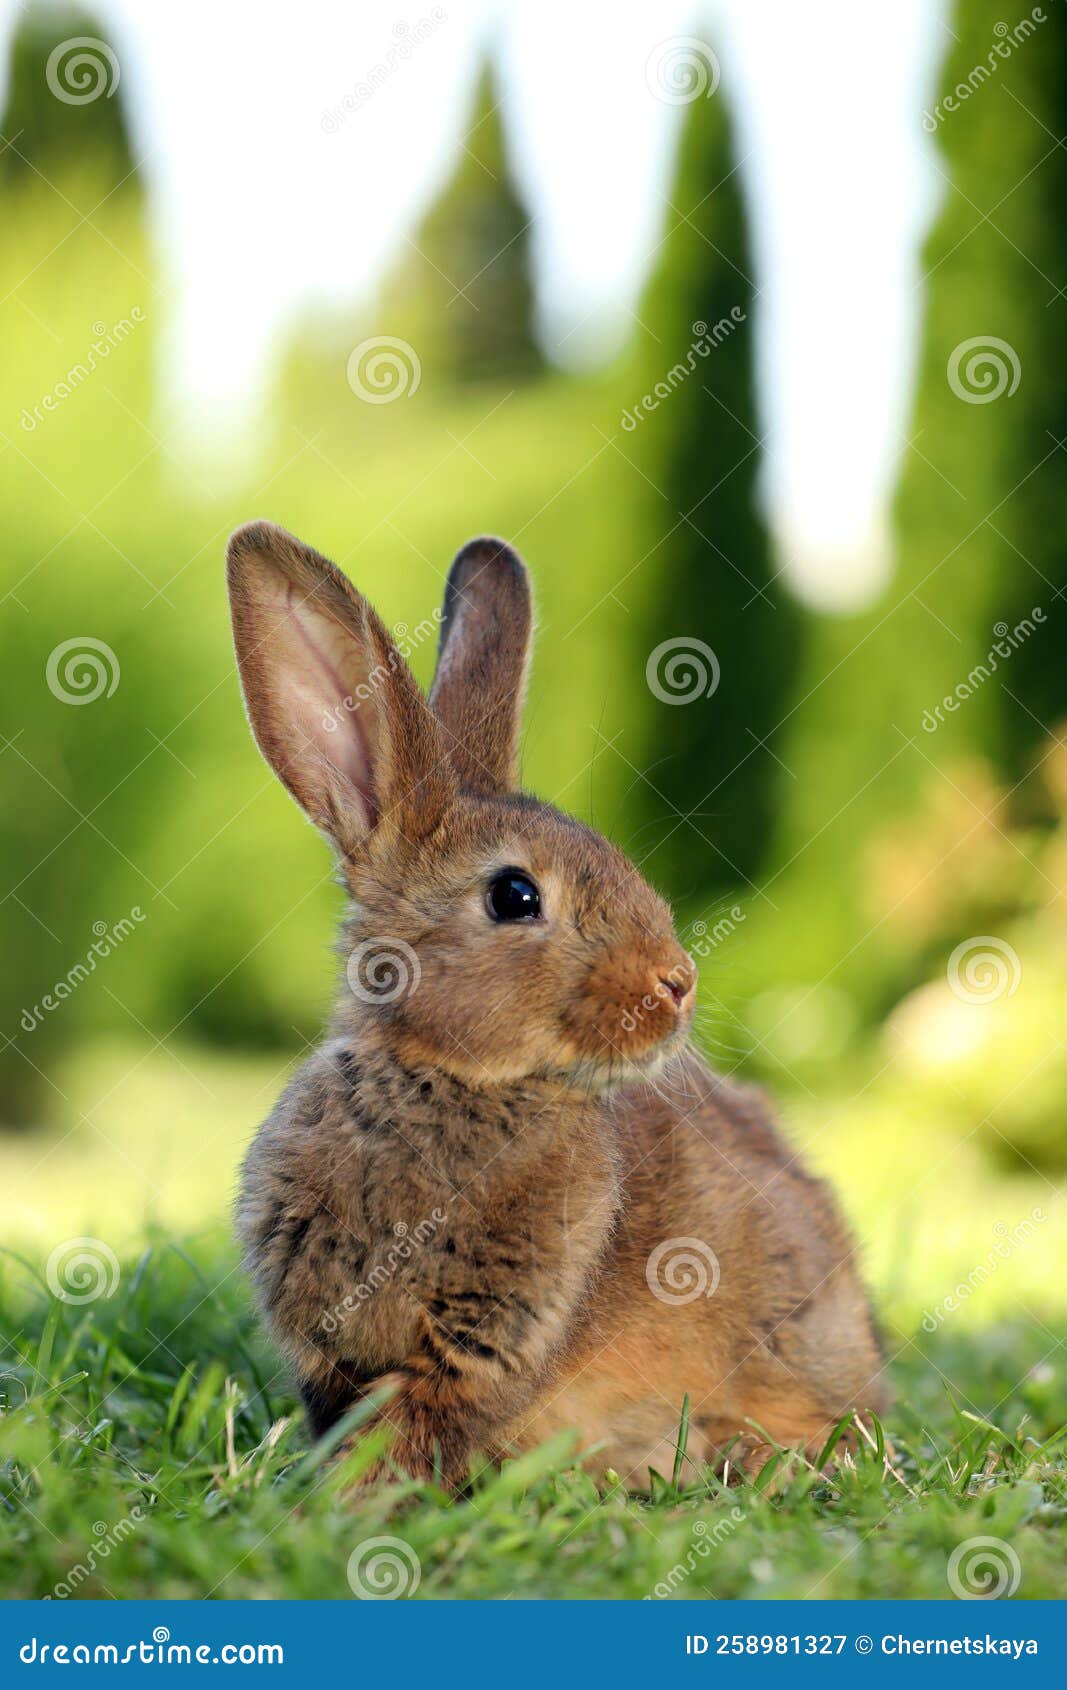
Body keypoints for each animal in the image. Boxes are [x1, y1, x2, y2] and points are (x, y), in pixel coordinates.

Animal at [226, 519, 886, 1489]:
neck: (450, 1077)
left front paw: (350, 1501)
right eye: (514, 896)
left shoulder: (489, 1337)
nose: (676, 983)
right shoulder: (333, 1351)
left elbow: (415, 1427)